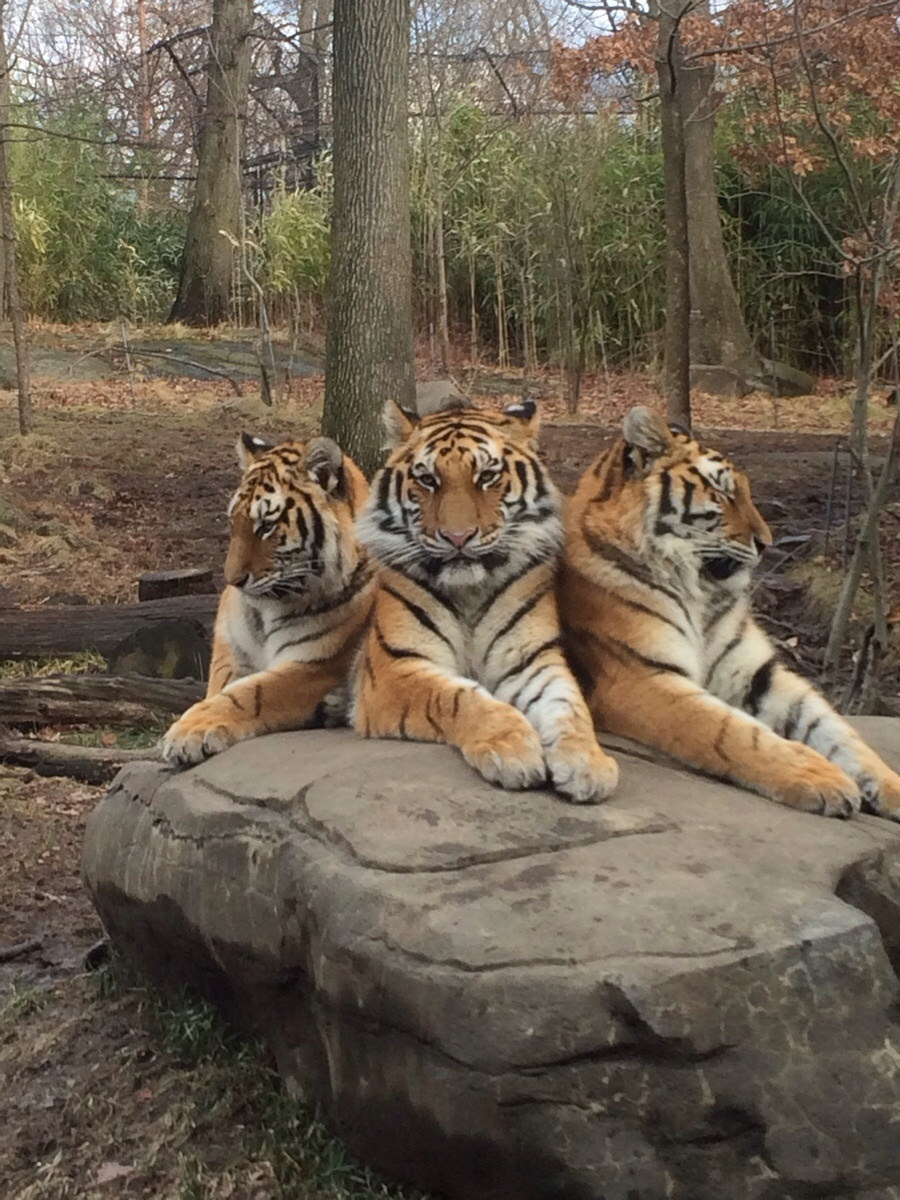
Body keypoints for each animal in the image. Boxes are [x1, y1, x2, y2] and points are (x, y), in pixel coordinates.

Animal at [162, 433, 377, 767]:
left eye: (266, 526)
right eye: (232, 522)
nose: (232, 580)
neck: (264, 612)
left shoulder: (314, 664)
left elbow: (250, 693)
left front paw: (187, 733)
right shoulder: (230, 653)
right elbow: (221, 687)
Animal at [350, 394, 619, 804]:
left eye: (487, 476)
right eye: (427, 479)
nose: (457, 538)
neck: (469, 592)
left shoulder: (531, 660)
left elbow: (569, 706)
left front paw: (588, 763)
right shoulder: (396, 668)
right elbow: (458, 697)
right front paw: (513, 748)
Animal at [559, 404, 900, 821]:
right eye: (723, 494)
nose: (767, 543)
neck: (701, 595)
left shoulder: (760, 674)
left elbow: (835, 728)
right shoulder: (637, 676)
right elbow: (731, 730)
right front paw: (820, 776)